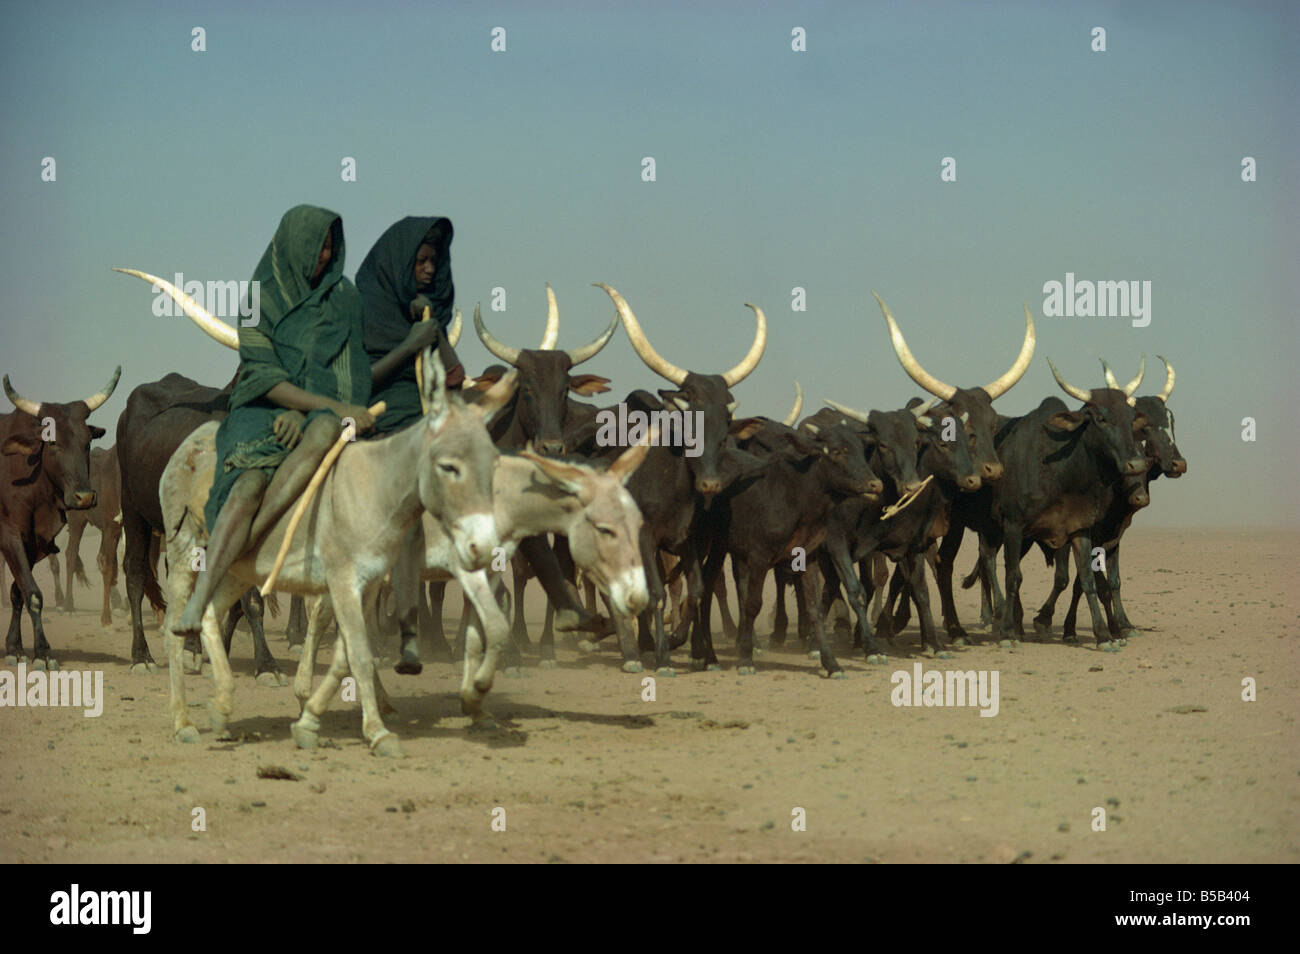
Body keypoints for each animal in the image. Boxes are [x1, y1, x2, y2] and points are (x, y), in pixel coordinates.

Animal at [1, 367, 120, 668]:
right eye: (52, 441)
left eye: (87, 442)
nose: (84, 497)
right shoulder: (10, 536)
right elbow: (32, 594)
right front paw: (43, 652)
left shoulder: (35, 541)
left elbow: (20, 591)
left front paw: (14, 647)